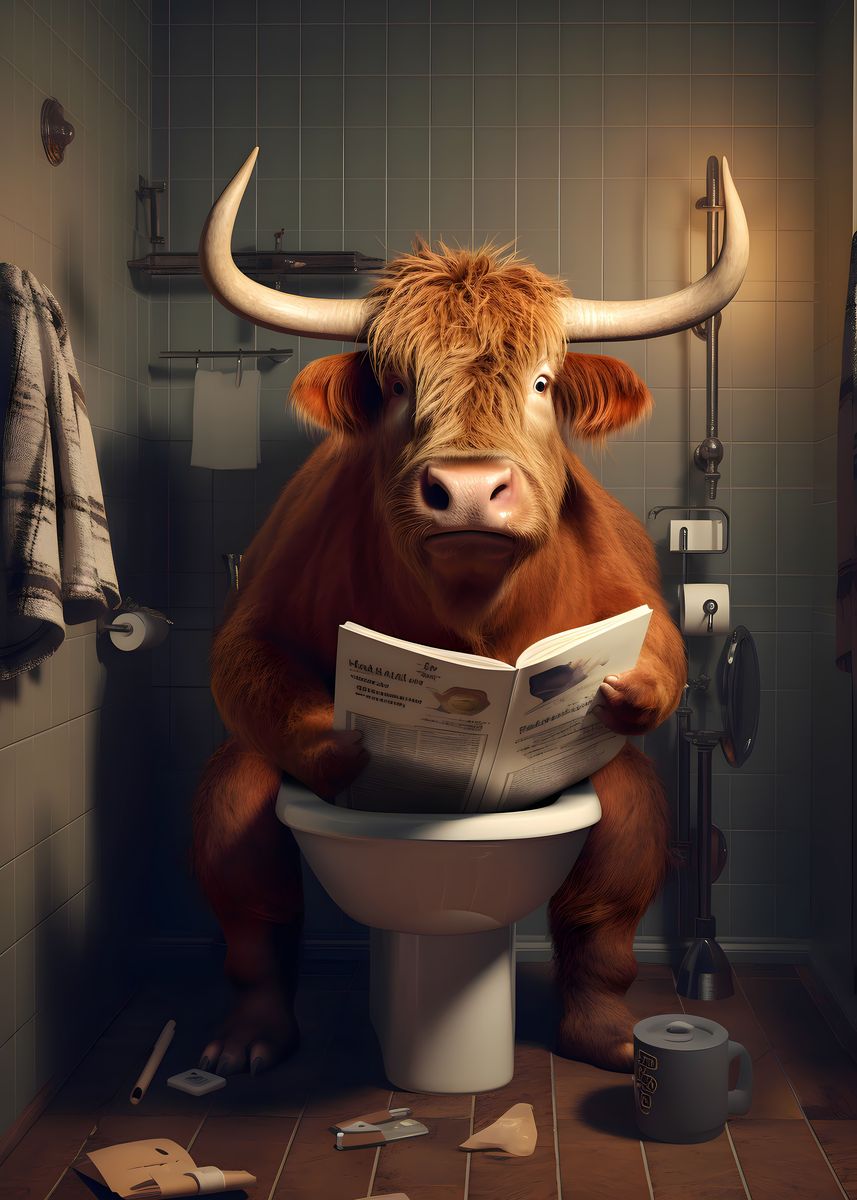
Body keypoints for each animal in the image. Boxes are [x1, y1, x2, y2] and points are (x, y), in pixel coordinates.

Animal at [191, 149, 749, 1079]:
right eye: (394, 383)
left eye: (542, 382)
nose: (468, 488)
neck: (470, 609)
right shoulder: (257, 616)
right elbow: (242, 664)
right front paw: (349, 741)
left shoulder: (632, 596)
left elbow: (665, 646)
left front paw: (626, 691)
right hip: (244, 801)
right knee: (248, 891)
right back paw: (248, 1037)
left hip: (610, 805)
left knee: (608, 895)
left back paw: (605, 1033)